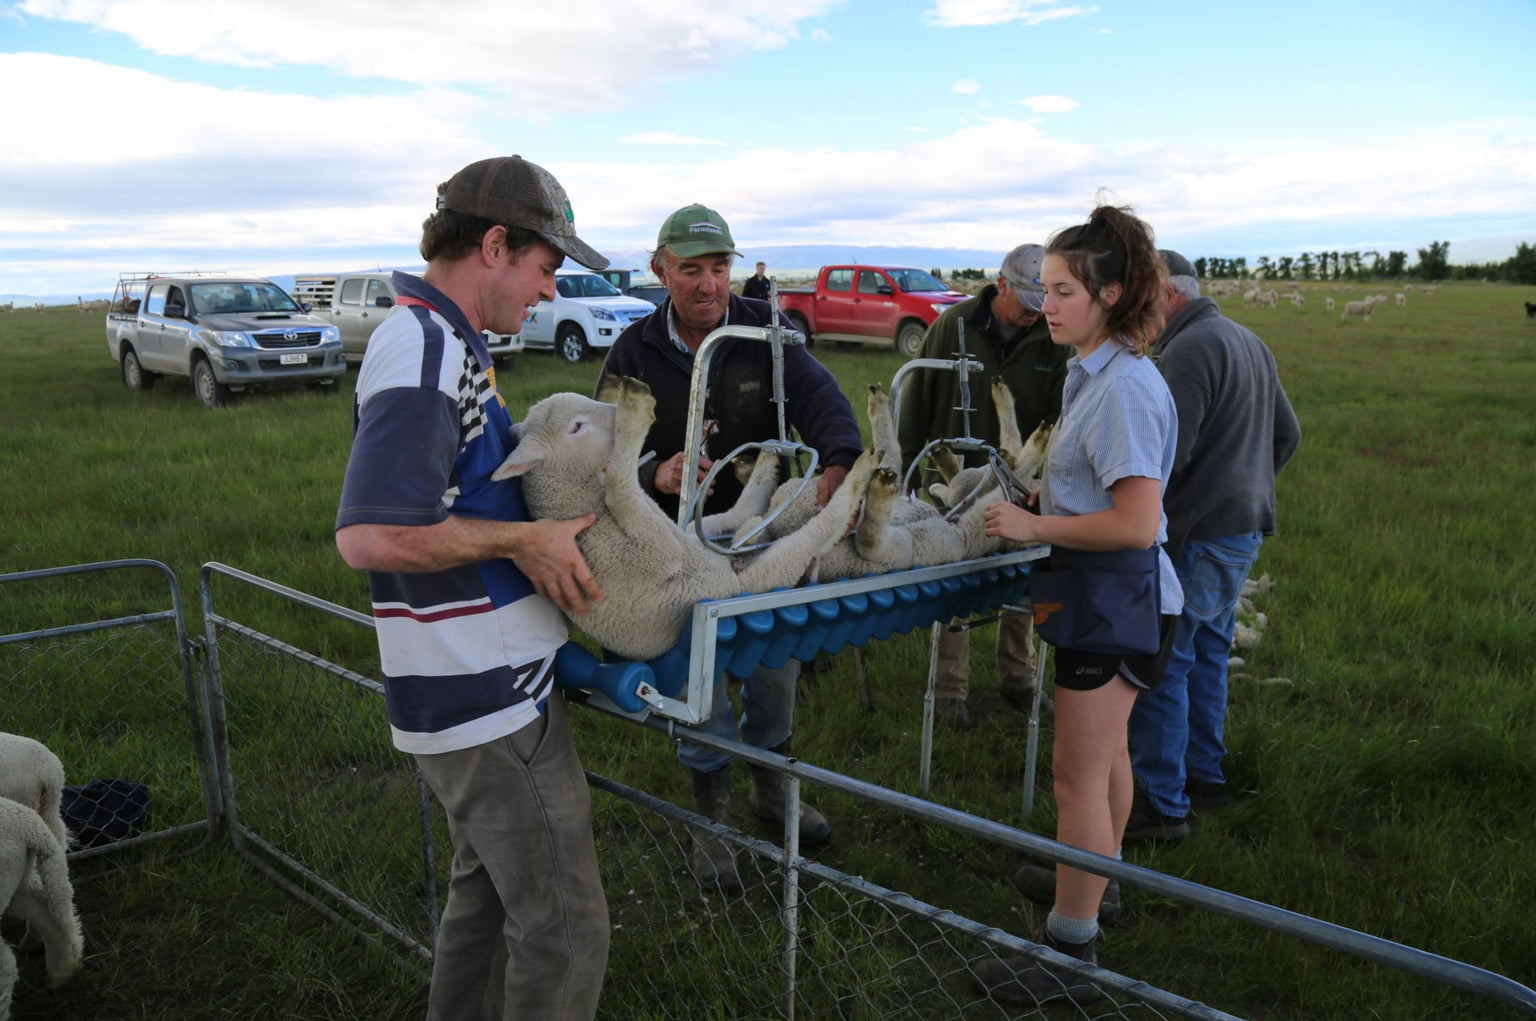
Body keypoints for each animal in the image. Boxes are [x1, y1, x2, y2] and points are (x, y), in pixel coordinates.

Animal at [491, 377, 878, 661]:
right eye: (576, 427)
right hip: (760, 575)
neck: (588, 512)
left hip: (705, 543)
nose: (616, 409)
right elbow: (620, 485)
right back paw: (862, 471)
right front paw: (636, 413)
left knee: (733, 514)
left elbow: (628, 489)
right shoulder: (653, 551)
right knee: (817, 530)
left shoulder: (667, 535)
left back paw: (766, 464)